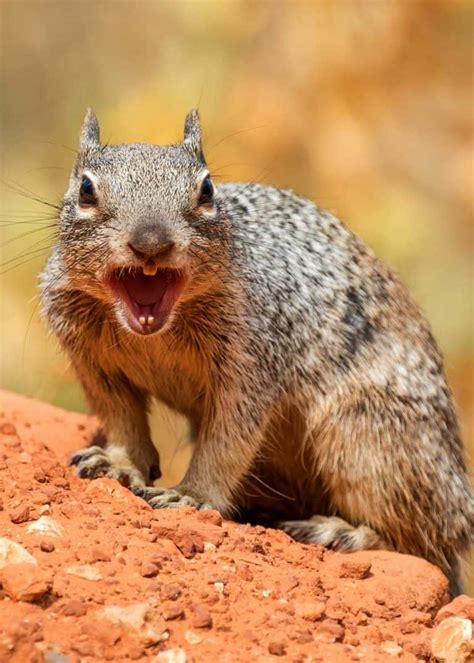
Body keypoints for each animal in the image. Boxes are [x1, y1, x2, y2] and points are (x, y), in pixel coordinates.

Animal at [40, 108, 473, 596]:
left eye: (207, 189)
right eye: (86, 189)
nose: (151, 243)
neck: (154, 333)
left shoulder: (251, 363)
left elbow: (229, 440)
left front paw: (190, 495)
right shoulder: (94, 365)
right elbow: (121, 419)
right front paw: (117, 462)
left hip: (366, 442)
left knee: (422, 544)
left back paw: (339, 531)